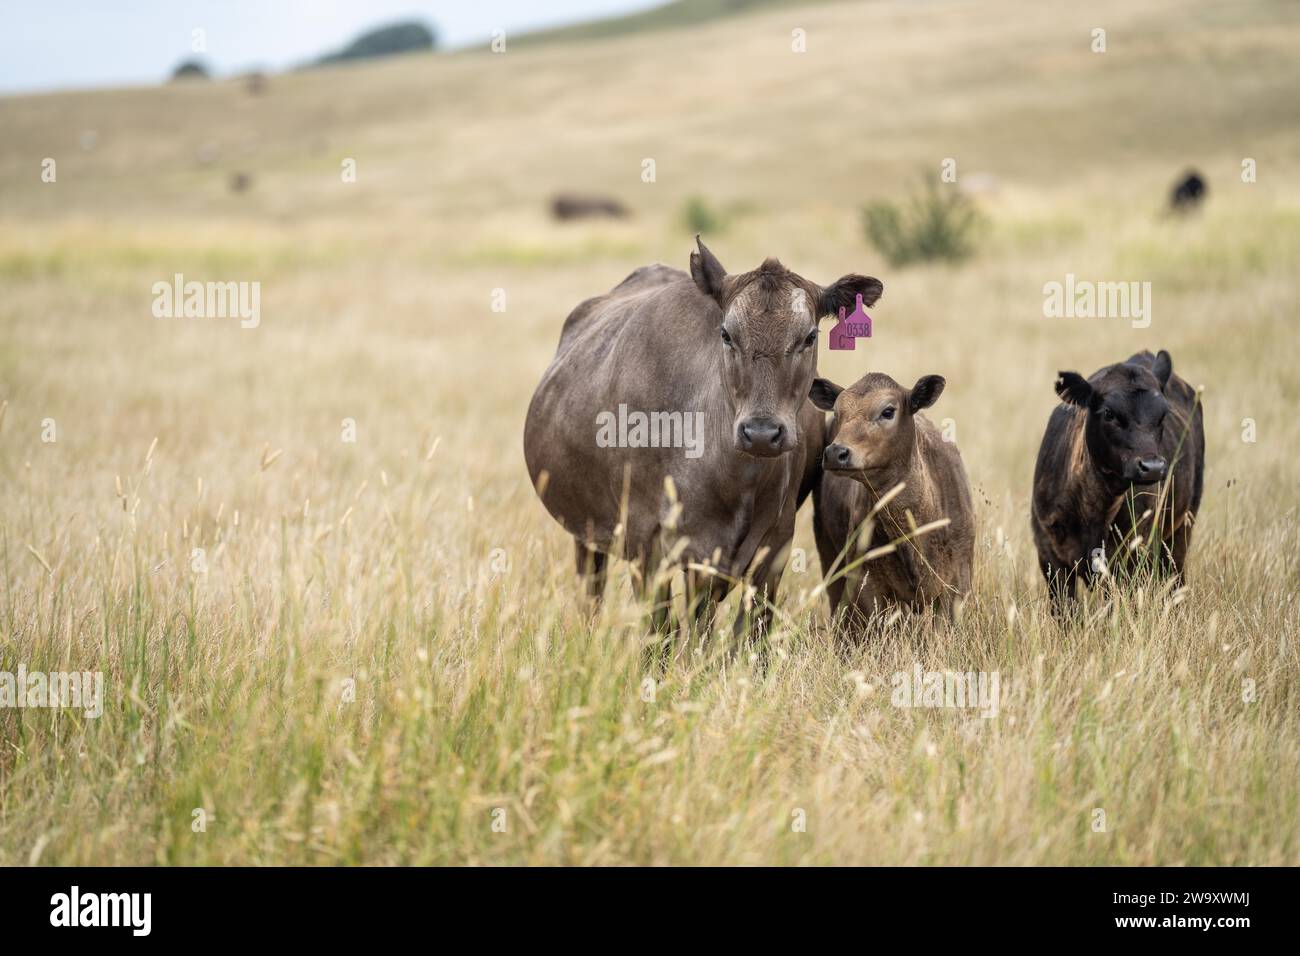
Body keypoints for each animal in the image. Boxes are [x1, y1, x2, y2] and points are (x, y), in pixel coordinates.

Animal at [524, 238, 883, 639]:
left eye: (809, 337)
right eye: (726, 335)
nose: (761, 434)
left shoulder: (774, 547)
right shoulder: (648, 545)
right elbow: (663, 634)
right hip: (585, 533)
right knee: (592, 595)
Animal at [1030, 349, 1205, 617]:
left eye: (1162, 415)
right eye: (1109, 413)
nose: (1153, 466)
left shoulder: (1130, 558)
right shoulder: (1050, 557)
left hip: (1182, 527)